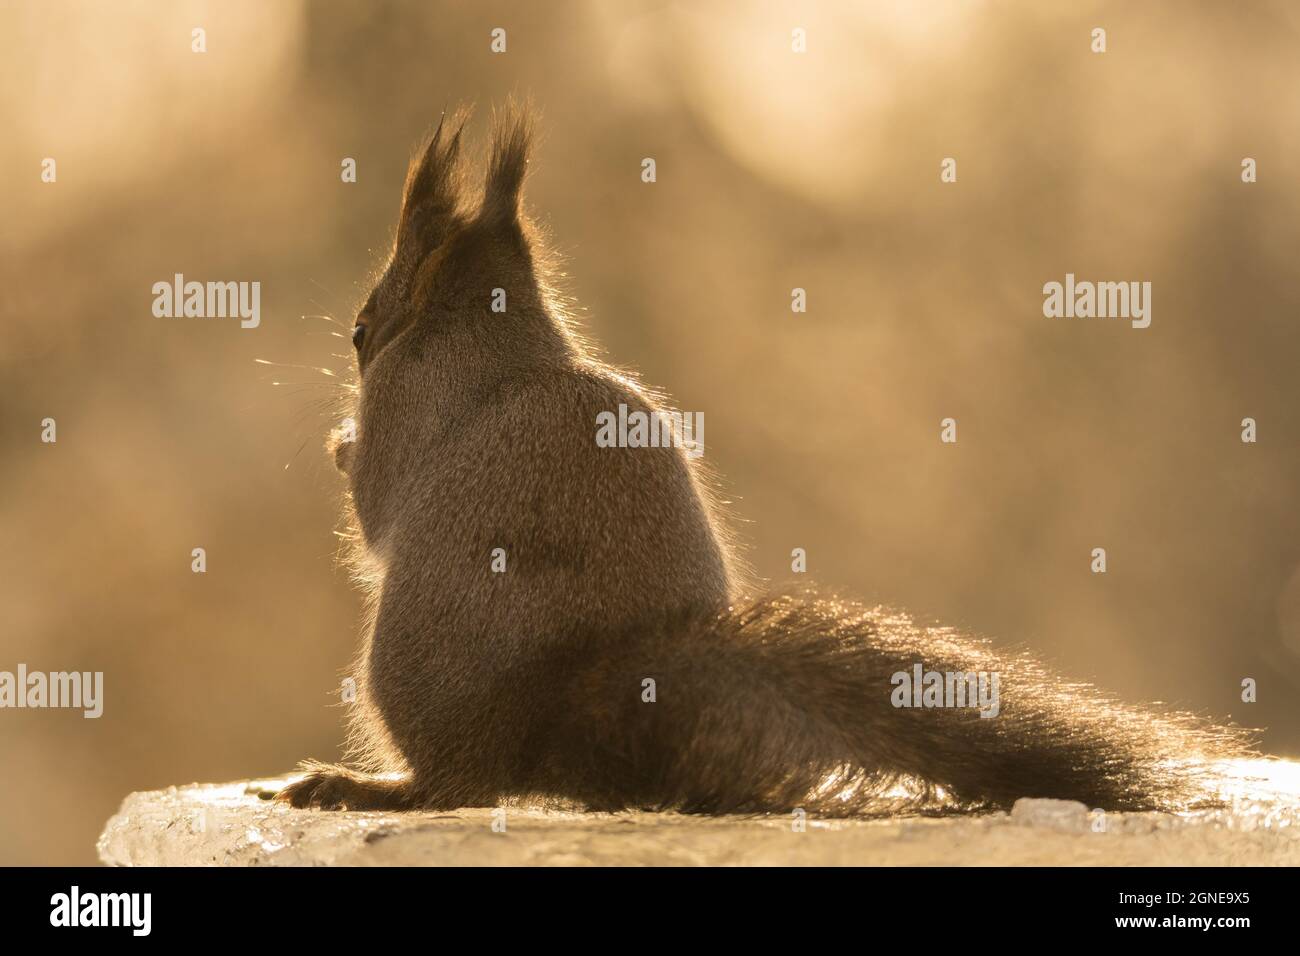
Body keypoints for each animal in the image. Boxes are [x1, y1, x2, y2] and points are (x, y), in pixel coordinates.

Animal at [277, 104, 1248, 815]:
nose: (356, 339)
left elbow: (375, 507)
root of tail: (546, 728)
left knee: (454, 786)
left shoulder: (411, 398)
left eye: (363, 325)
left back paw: (365, 787)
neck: (496, 333)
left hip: (404, 682)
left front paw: (342, 446)